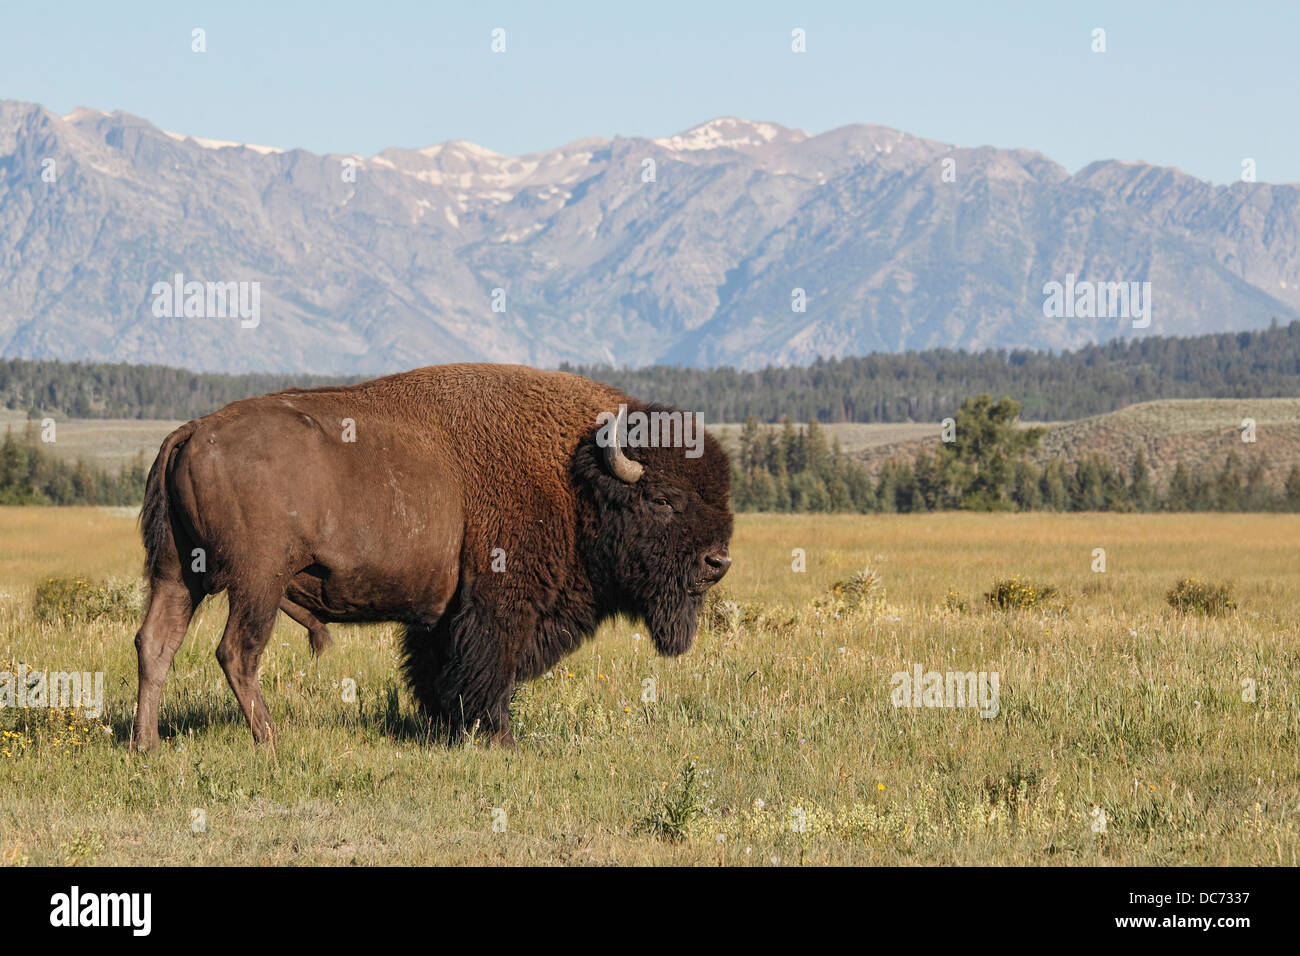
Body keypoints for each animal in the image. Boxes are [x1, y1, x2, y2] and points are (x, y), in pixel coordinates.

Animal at [131, 363, 733, 749]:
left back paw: (147, 745)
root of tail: (192, 431)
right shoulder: (499, 605)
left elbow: (438, 673)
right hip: (259, 581)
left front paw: (446, 729)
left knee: (155, 644)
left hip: (177, 572)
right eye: (662, 499)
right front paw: (500, 739)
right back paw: (271, 741)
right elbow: (487, 671)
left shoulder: (443, 617)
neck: (574, 479)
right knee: (237, 653)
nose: (717, 562)